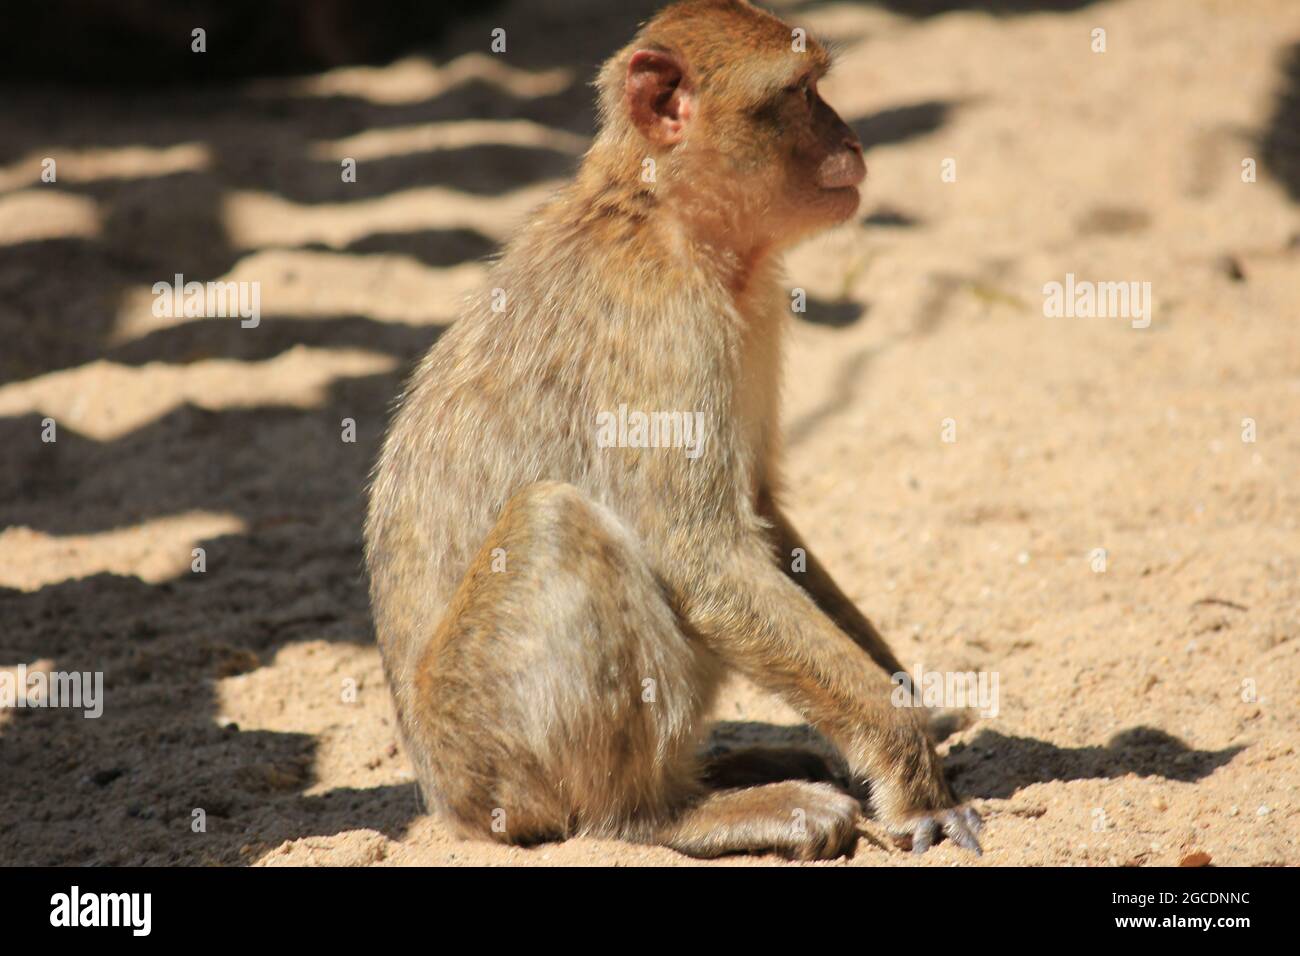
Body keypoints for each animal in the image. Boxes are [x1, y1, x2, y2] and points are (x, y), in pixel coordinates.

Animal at [364, 0, 982, 859]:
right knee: (558, 522)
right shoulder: (665, 324)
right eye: (801, 93)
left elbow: (760, 516)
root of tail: (442, 796)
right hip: (487, 753)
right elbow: (702, 552)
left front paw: (912, 699)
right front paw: (915, 767)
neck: (663, 216)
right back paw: (664, 812)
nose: (854, 141)